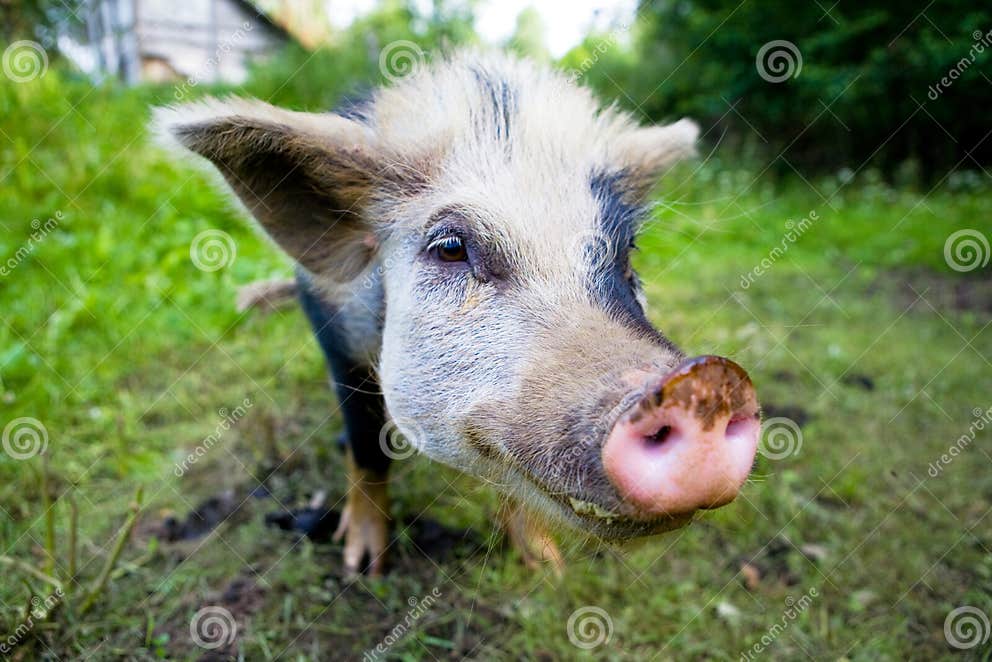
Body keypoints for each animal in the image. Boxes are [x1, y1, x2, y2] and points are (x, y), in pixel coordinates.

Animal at [155, 52, 761, 576]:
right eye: (450, 247)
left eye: (627, 255)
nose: (708, 380)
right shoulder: (333, 332)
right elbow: (365, 442)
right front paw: (363, 565)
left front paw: (547, 567)